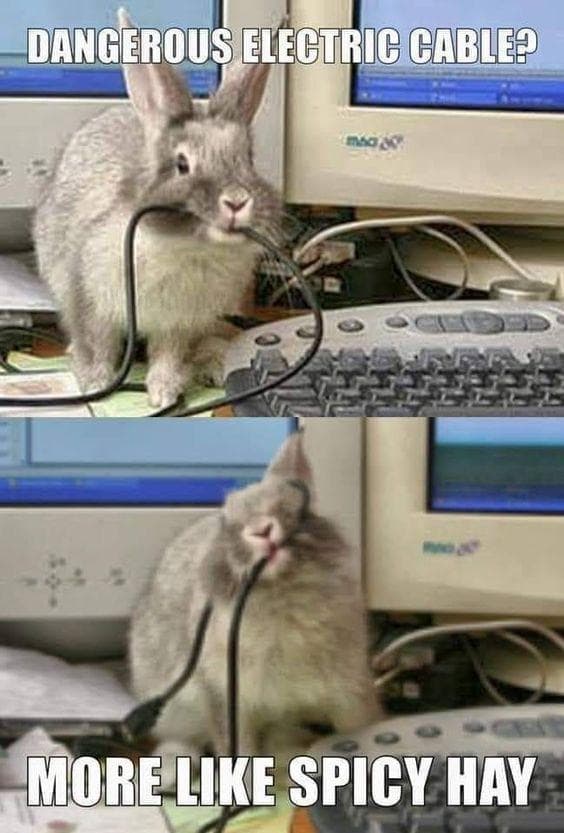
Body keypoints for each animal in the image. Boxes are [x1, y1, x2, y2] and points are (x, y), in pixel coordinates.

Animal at [33, 9, 282, 408]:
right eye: (182, 165)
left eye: (248, 159)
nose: (236, 201)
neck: (189, 246)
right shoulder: (90, 301)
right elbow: (99, 345)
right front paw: (96, 383)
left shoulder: (178, 324)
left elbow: (168, 355)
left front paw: (164, 393)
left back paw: (212, 362)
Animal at [129, 432, 381, 791]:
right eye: (225, 522)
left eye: (294, 507)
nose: (262, 529)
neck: (281, 595)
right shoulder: (224, 698)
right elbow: (238, 752)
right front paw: (243, 796)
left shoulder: (351, 688)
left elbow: (360, 726)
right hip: (172, 708)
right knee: (183, 742)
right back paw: (168, 775)